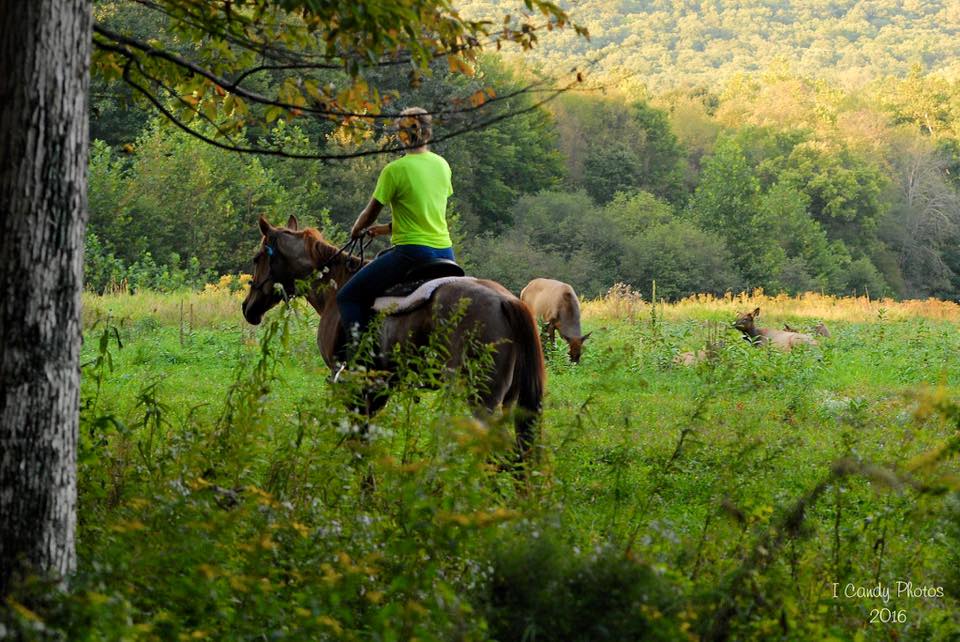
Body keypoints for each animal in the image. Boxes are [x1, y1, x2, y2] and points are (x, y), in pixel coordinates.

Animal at [241, 215, 546, 464]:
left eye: (257, 258)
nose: (248, 307)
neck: (334, 287)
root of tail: (507, 301)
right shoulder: (378, 389)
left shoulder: (352, 386)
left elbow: (358, 442)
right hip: (507, 401)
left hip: (481, 399)